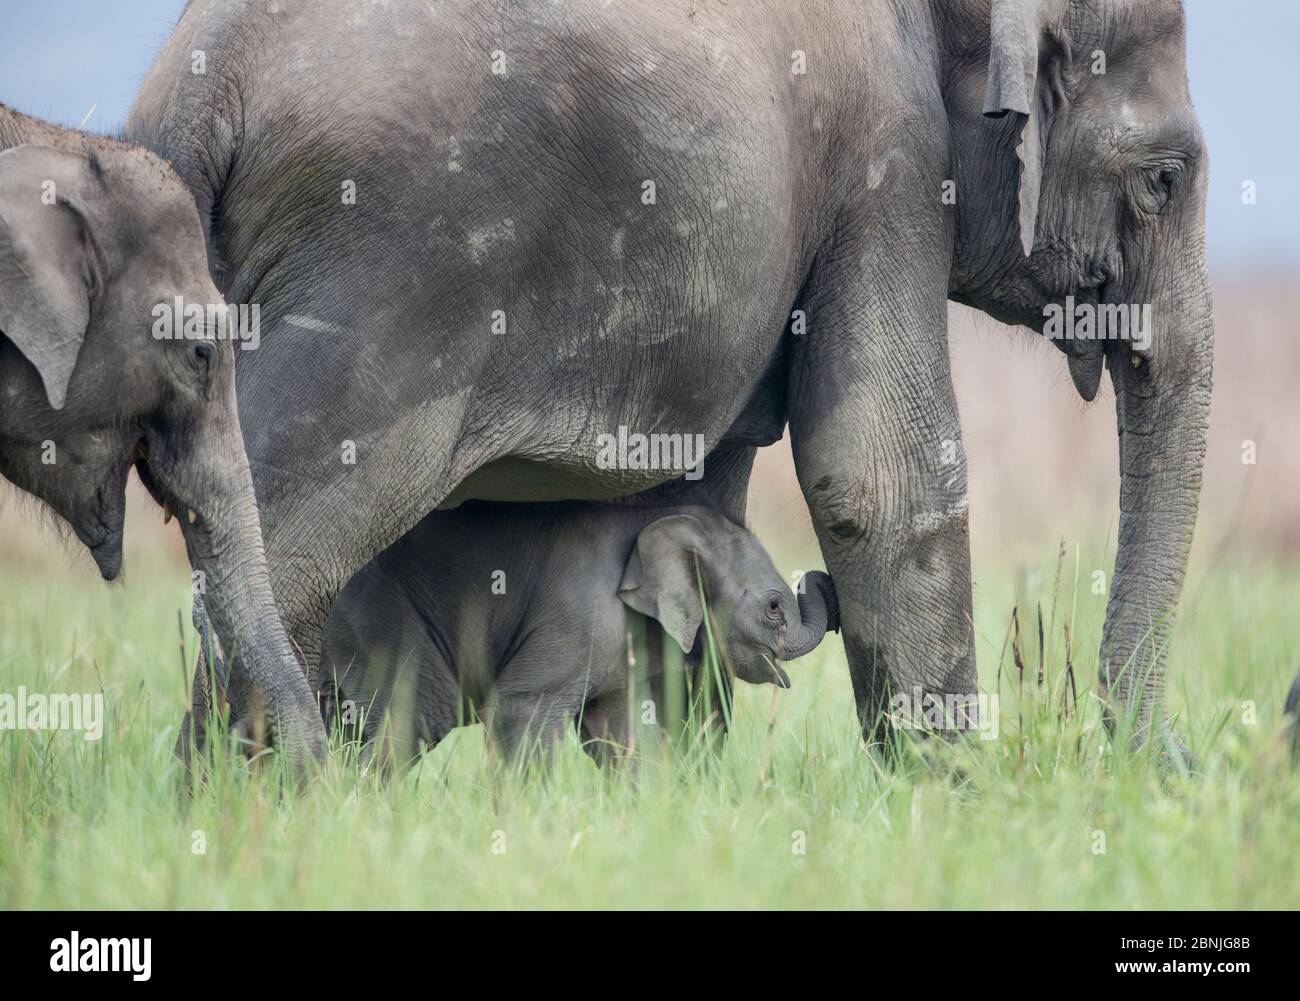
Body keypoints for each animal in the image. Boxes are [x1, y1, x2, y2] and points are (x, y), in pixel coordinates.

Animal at [320, 500, 838, 764]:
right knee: (413, 719)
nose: (823, 577)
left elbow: (619, 730)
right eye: (774, 608)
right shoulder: (579, 617)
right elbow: (520, 711)